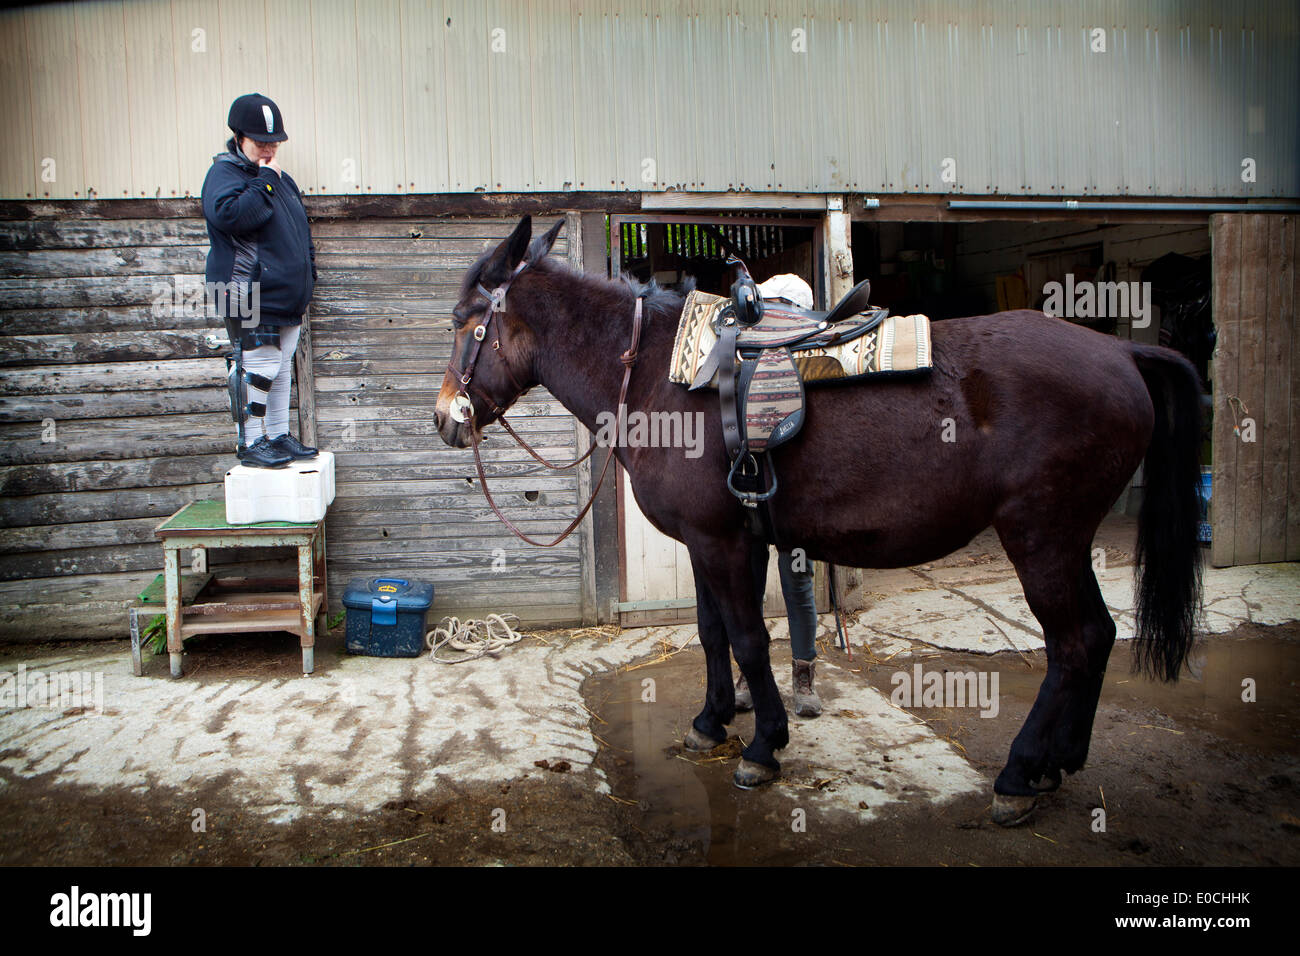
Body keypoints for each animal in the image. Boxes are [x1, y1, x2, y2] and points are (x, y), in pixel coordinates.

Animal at [433, 216, 1204, 826]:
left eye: (467, 324)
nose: (445, 418)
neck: (658, 375)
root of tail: (1122, 351)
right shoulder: (722, 542)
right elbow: (713, 635)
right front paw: (712, 722)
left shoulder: (718, 541)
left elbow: (747, 639)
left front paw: (762, 746)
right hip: (1067, 541)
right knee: (1098, 637)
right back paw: (1057, 762)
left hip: (1044, 538)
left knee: (1075, 643)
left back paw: (1019, 775)